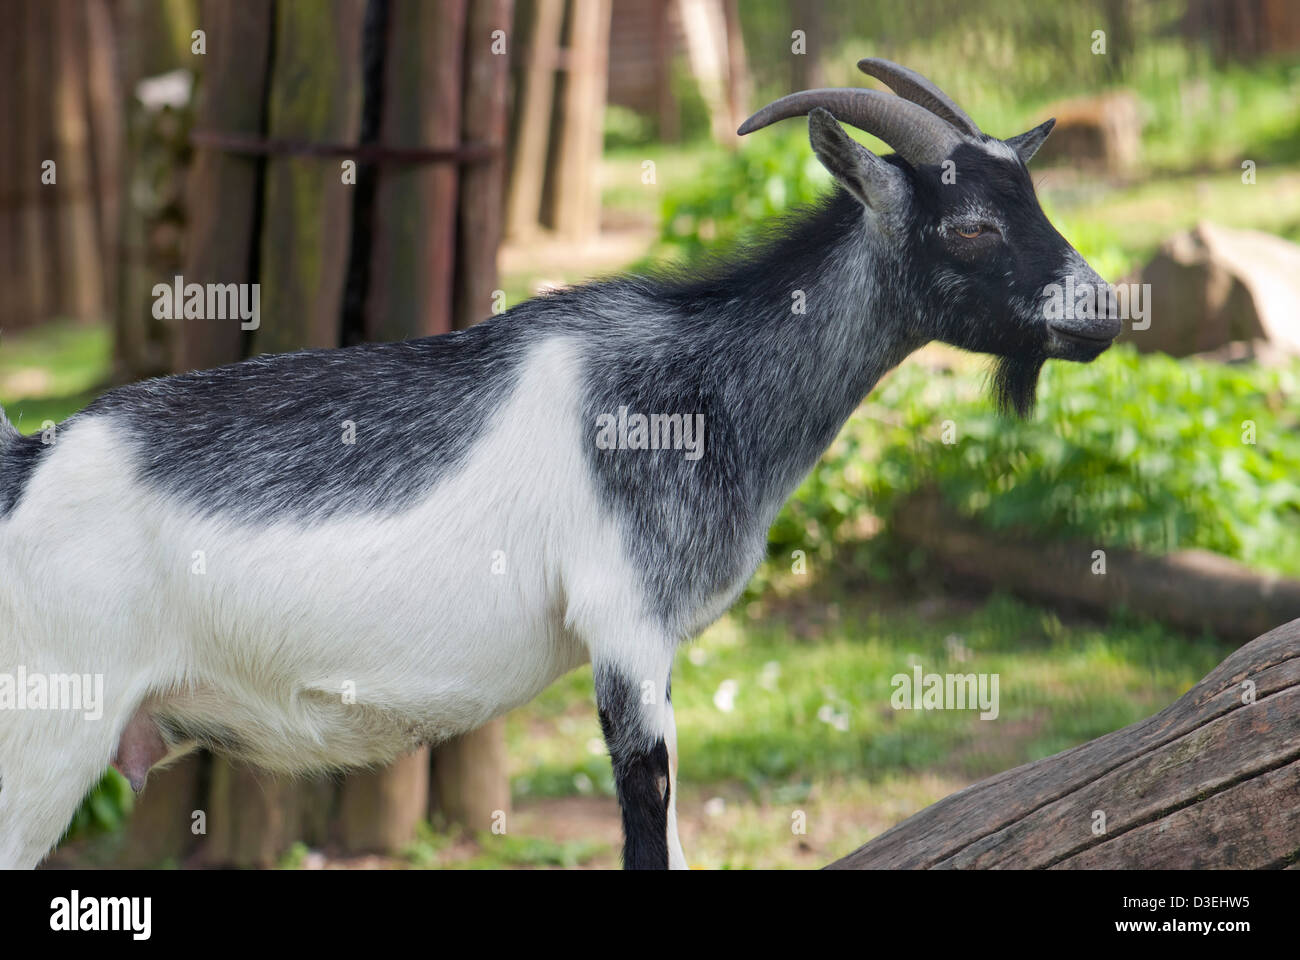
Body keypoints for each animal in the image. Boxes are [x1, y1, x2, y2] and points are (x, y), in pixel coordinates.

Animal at [0, 59, 1118, 869]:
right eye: (970, 225)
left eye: (1036, 201)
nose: (1106, 312)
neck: (691, 384)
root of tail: (27, 466)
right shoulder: (622, 625)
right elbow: (646, 822)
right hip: (48, 729)